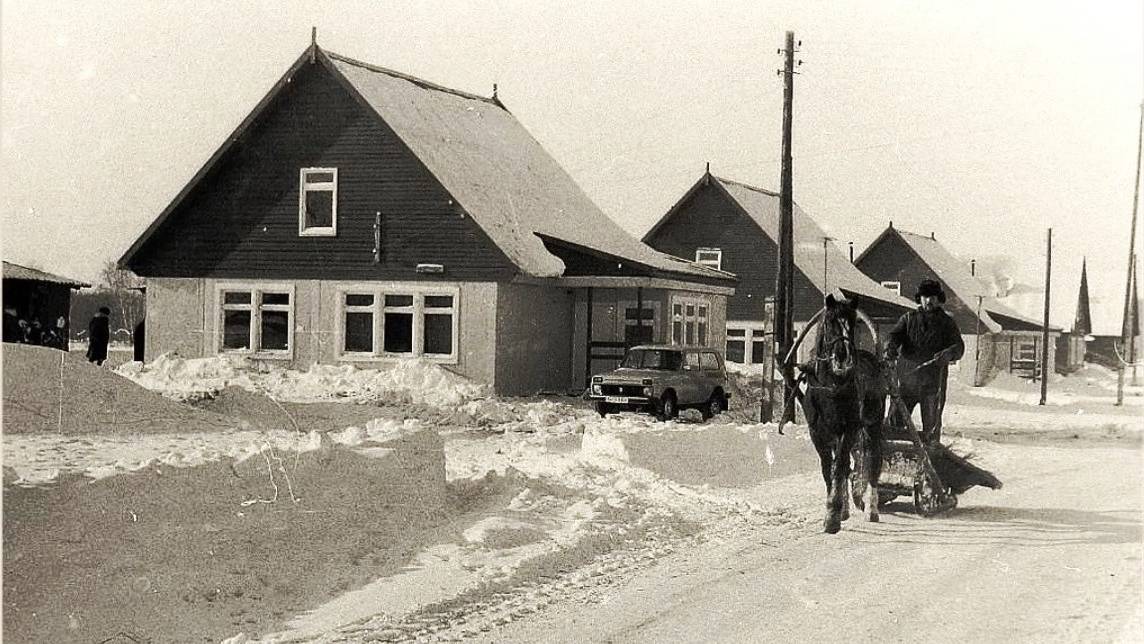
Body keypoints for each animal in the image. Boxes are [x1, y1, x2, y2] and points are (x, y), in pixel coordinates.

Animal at [777, 292, 883, 535]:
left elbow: (840, 466)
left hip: (873, 424)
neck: (832, 385)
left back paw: (871, 509)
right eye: (830, 322)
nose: (843, 356)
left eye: (852, 322)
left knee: (873, 460)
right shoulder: (818, 432)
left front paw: (833, 514)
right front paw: (836, 511)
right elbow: (829, 468)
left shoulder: (849, 428)